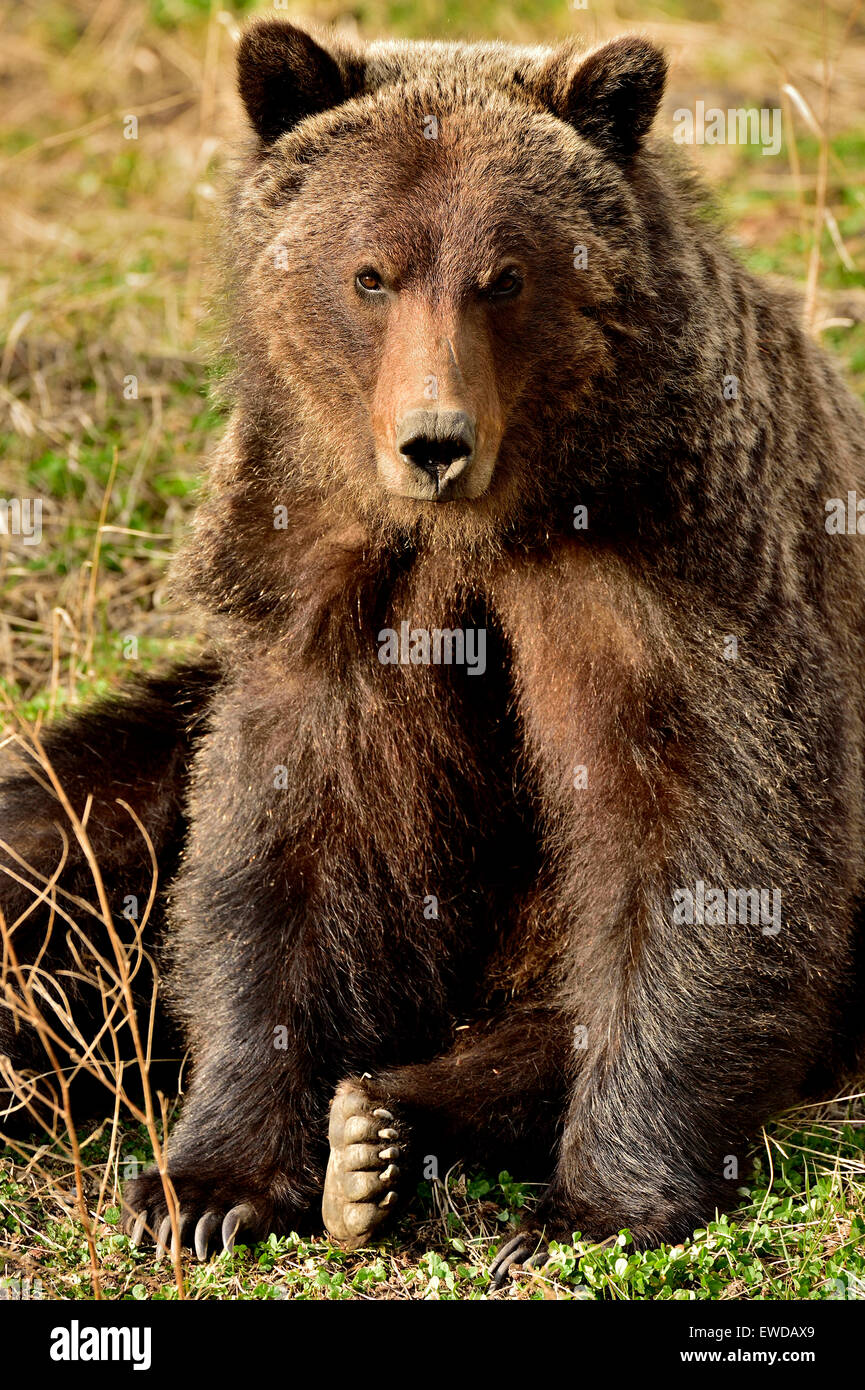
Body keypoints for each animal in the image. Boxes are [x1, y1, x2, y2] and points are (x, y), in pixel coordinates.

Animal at [2, 17, 865, 1287]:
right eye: (370, 273)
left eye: (504, 277)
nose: (433, 441)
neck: (494, 524)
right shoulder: (326, 589)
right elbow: (289, 841)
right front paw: (204, 1186)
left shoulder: (678, 572)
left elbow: (699, 836)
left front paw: (590, 1204)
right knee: (60, 830)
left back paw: (391, 1122)